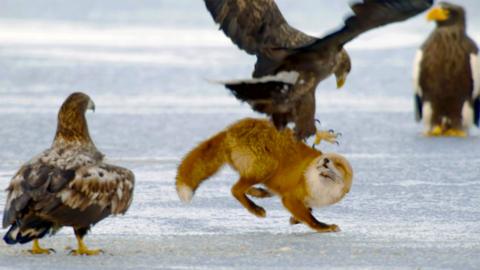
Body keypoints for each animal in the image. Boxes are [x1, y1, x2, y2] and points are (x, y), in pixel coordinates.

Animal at [176, 118, 352, 232]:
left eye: (339, 165)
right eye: (327, 159)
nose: (325, 160)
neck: (320, 190)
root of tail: (231, 130)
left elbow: (306, 211)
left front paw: (295, 220)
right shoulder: (290, 197)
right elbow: (310, 219)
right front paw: (325, 227)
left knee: (243, 187)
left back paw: (258, 194)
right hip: (266, 167)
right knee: (235, 189)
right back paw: (256, 209)